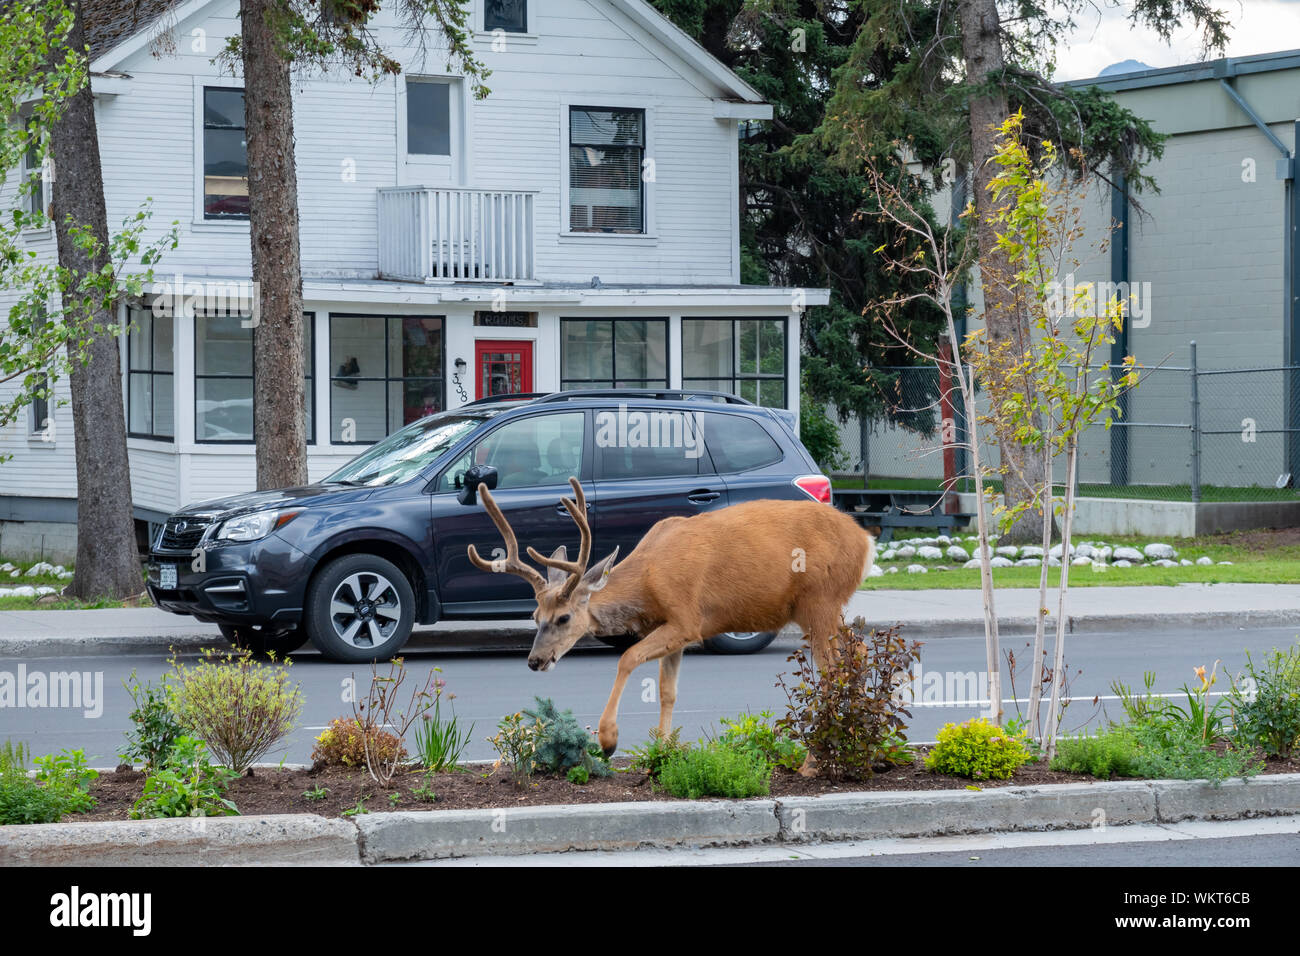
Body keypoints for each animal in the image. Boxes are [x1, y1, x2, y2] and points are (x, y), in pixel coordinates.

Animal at [466, 476, 874, 758]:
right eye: (535, 615)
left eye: (564, 617)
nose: (535, 661)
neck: (649, 581)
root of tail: (866, 542)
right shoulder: (672, 631)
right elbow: (667, 692)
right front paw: (662, 754)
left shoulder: (686, 618)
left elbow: (628, 658)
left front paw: (609, 740)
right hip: (824, 609)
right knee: (858, 652)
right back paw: (857, 739)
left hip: (819, 600)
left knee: (832, 671)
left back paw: (816, 758)